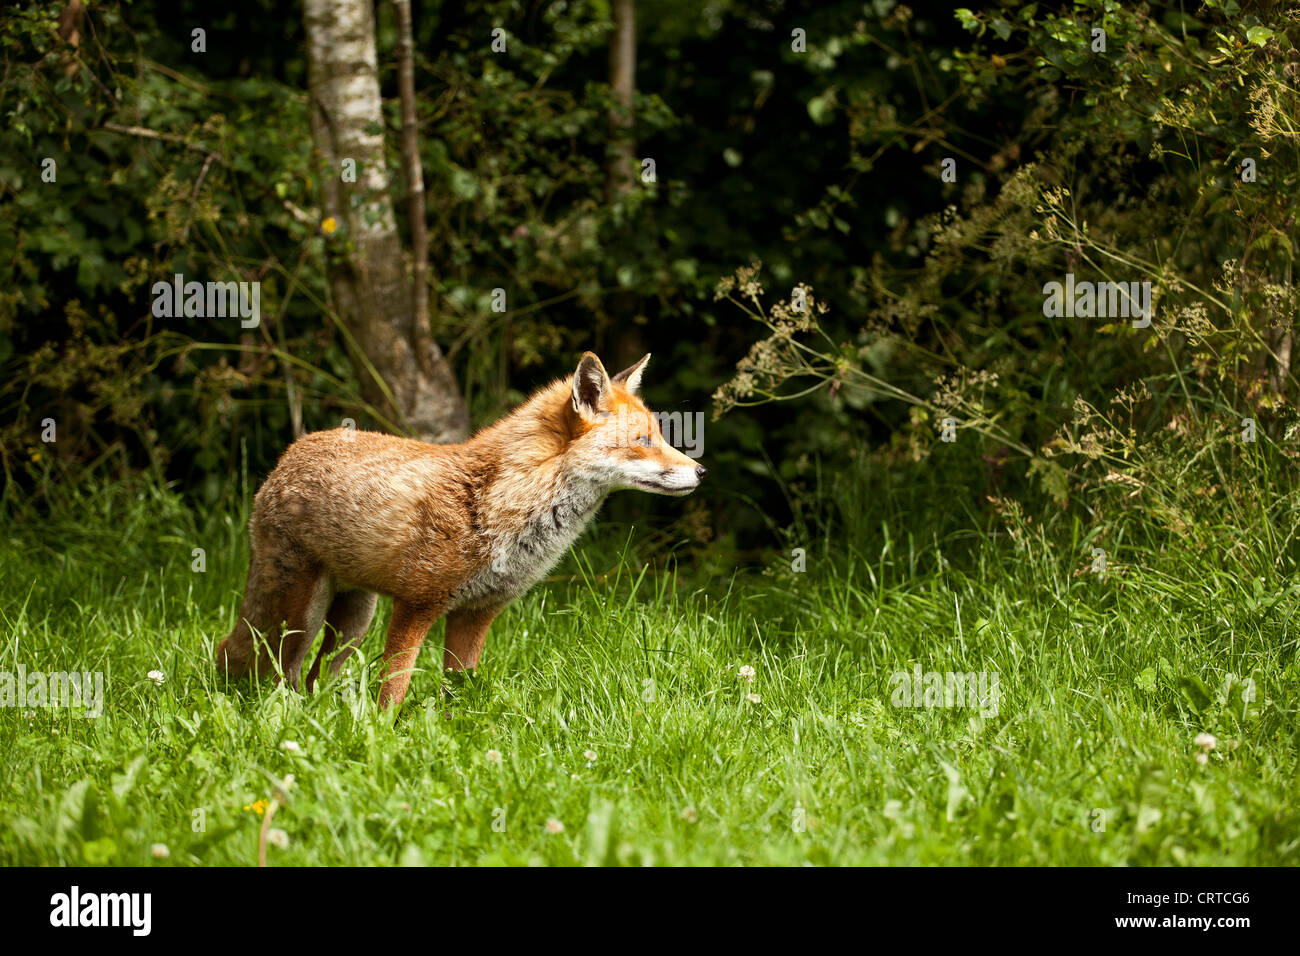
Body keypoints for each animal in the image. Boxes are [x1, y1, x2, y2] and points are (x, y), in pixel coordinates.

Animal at [214, 351, 704, 710]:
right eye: (643, 441)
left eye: (661, 436)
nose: (701, 472)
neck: (506, 500)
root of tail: (288, 454)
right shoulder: (416, 606)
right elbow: (394, 690)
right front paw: (384, 741)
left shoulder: (476, 614)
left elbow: (459, 694)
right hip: (301, 616)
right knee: (280, 672)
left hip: (354, 621)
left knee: (315, 678)